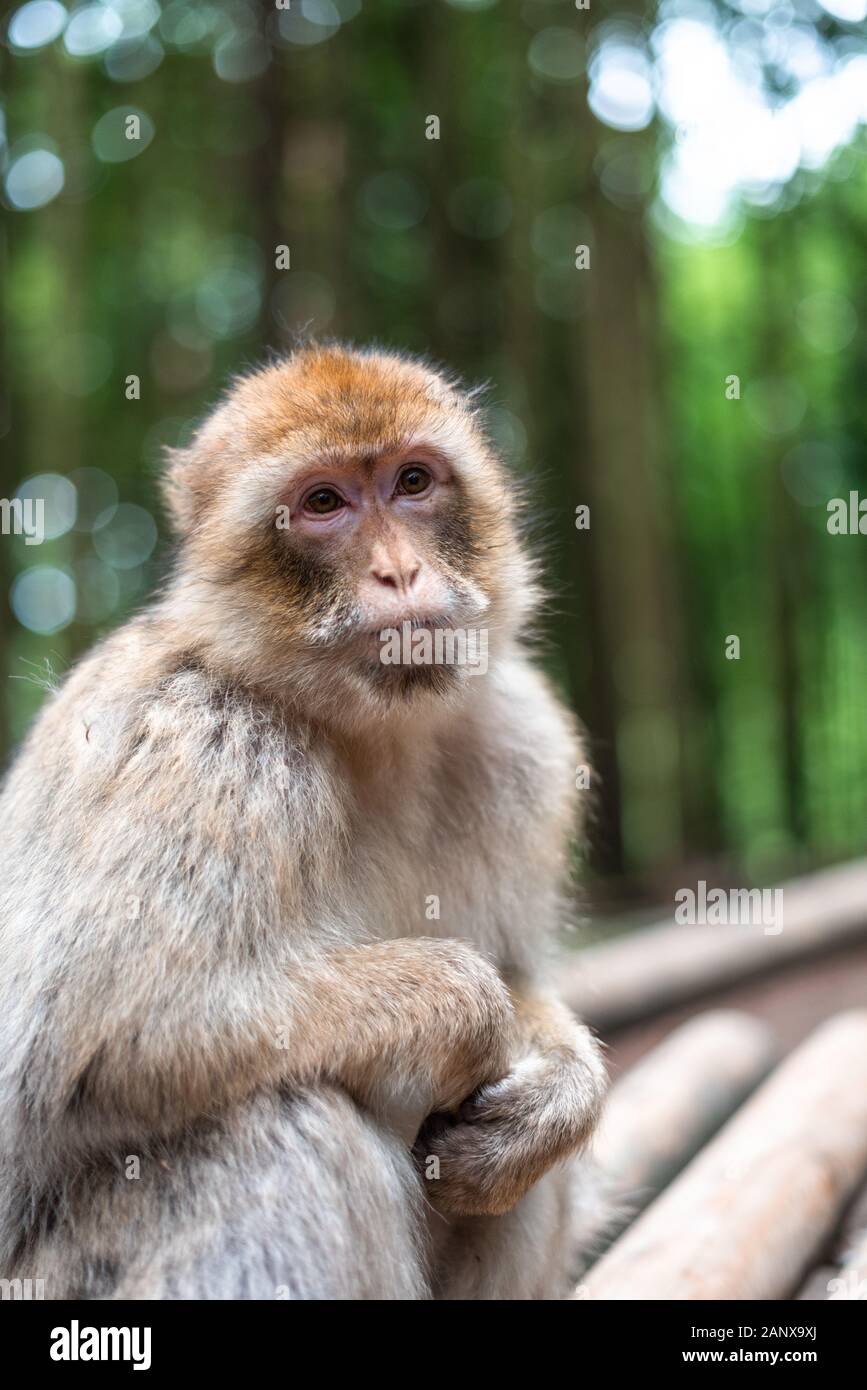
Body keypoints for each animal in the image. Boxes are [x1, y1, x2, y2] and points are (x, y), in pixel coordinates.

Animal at [0, 344, 607, 1301]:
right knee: (282, 1121)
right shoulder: (203, 743)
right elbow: (88, 1038)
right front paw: (465, 1003)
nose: (398, 573)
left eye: (412, 482)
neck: (372, 736)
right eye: (324, 502)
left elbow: (522, 981)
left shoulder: (524, 746)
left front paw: (560, 1092)